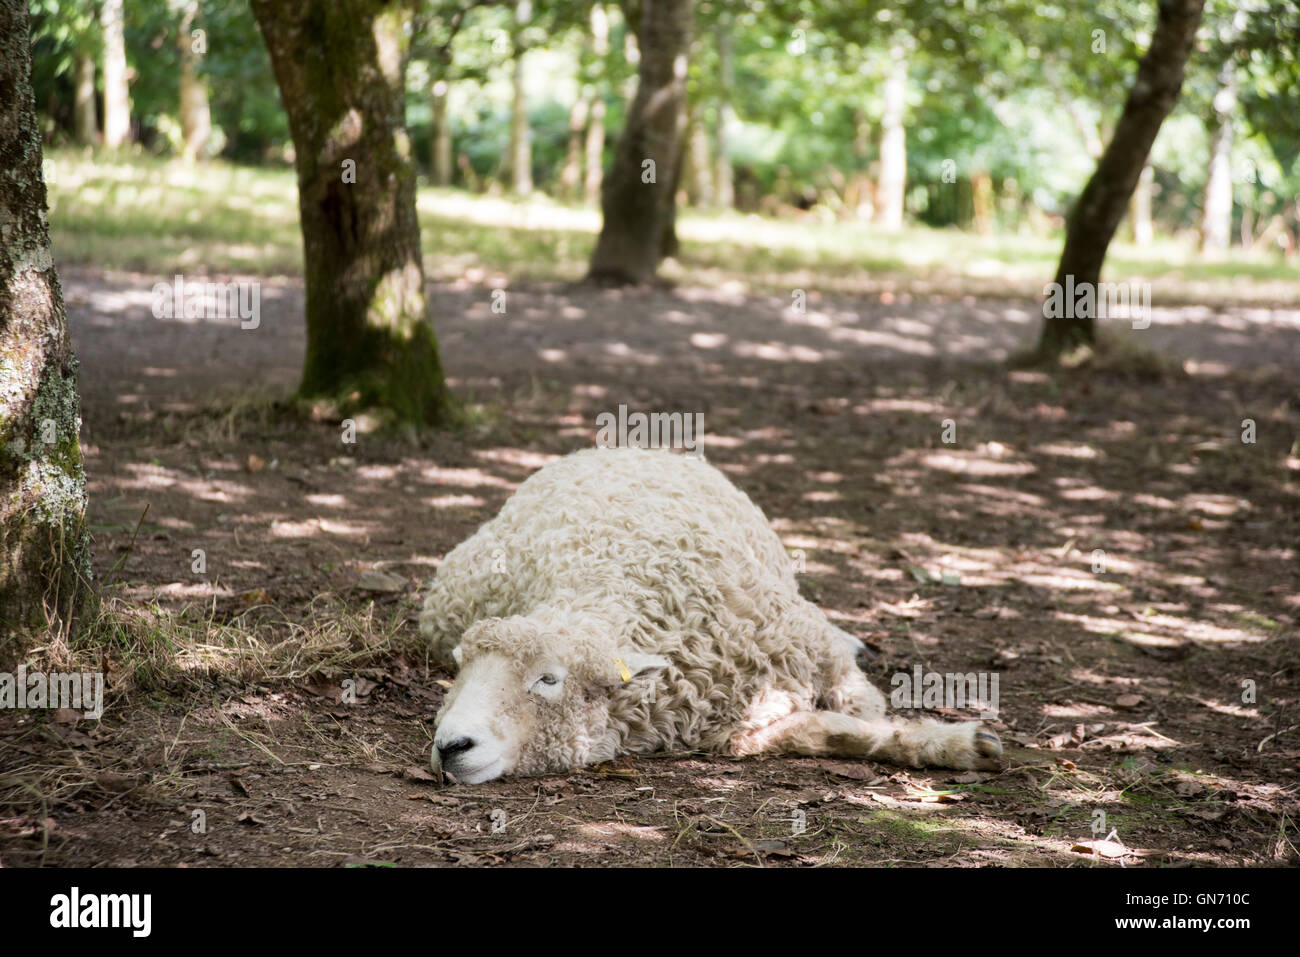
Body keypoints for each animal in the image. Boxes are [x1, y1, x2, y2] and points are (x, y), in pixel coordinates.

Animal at [419, 446, 1002, 784]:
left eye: (549, 679)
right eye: (460, 673)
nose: (450, 747)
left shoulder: (819, 658)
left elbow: (867, 713)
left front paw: (943, 741)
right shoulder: (732, 732)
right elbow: (825, 733)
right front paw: (957, 745)